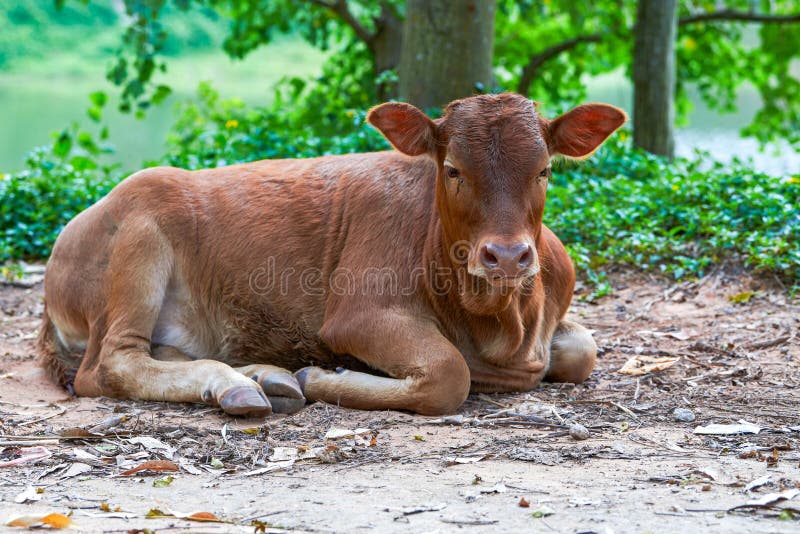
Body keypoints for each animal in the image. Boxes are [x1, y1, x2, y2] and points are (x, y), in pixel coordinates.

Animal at [38, 93, 625, 416]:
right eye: (453, 169)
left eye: (544, 170)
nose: (506, 256)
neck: (504, 326)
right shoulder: (357, 313)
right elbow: (448, 373)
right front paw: (322, 379)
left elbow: (584, 350)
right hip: (139, 235)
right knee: (110, 365)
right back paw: (239, 386)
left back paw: (263, 378)